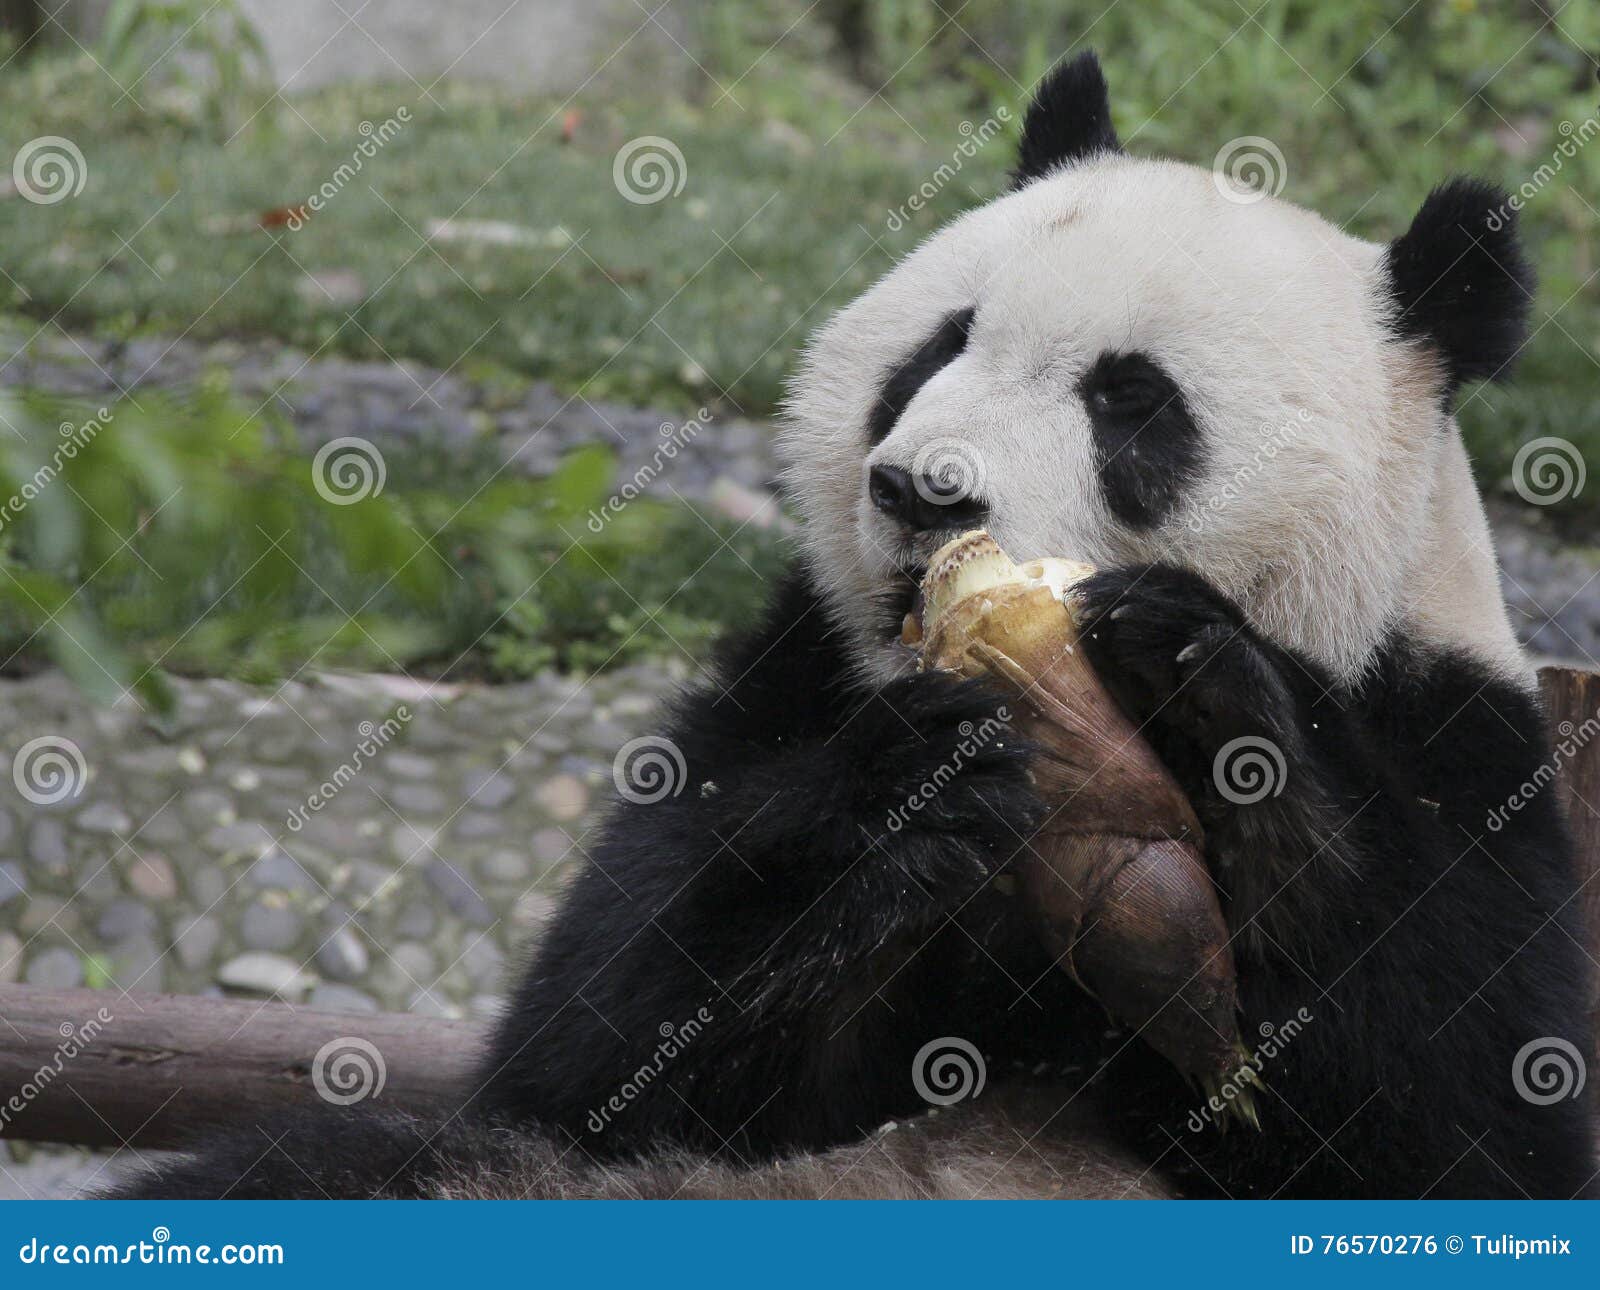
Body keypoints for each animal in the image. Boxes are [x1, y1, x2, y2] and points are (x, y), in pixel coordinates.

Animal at [115, 51, 1595, 1201]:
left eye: (1130, 401)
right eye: (940, 344)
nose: (922, 492)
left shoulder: (1465, 741)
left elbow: (1476, 1116)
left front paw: (1222, 707)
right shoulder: (796, 668)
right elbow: (589, 1054)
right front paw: (902, 792)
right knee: (336, 1172)